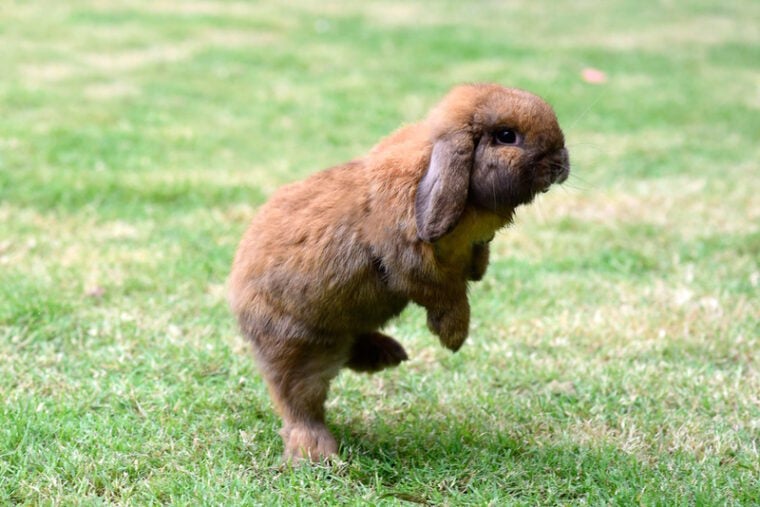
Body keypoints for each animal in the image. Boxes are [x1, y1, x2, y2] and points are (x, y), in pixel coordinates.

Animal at [228, 83, 570, 461]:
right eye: (507, 136)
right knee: (298, 405)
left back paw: (387, 356)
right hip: (297, 351)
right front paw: (453, 337)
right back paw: (318, 454)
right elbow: (448, 294)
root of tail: (235, 295)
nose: (560, 164)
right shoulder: (411, 264)